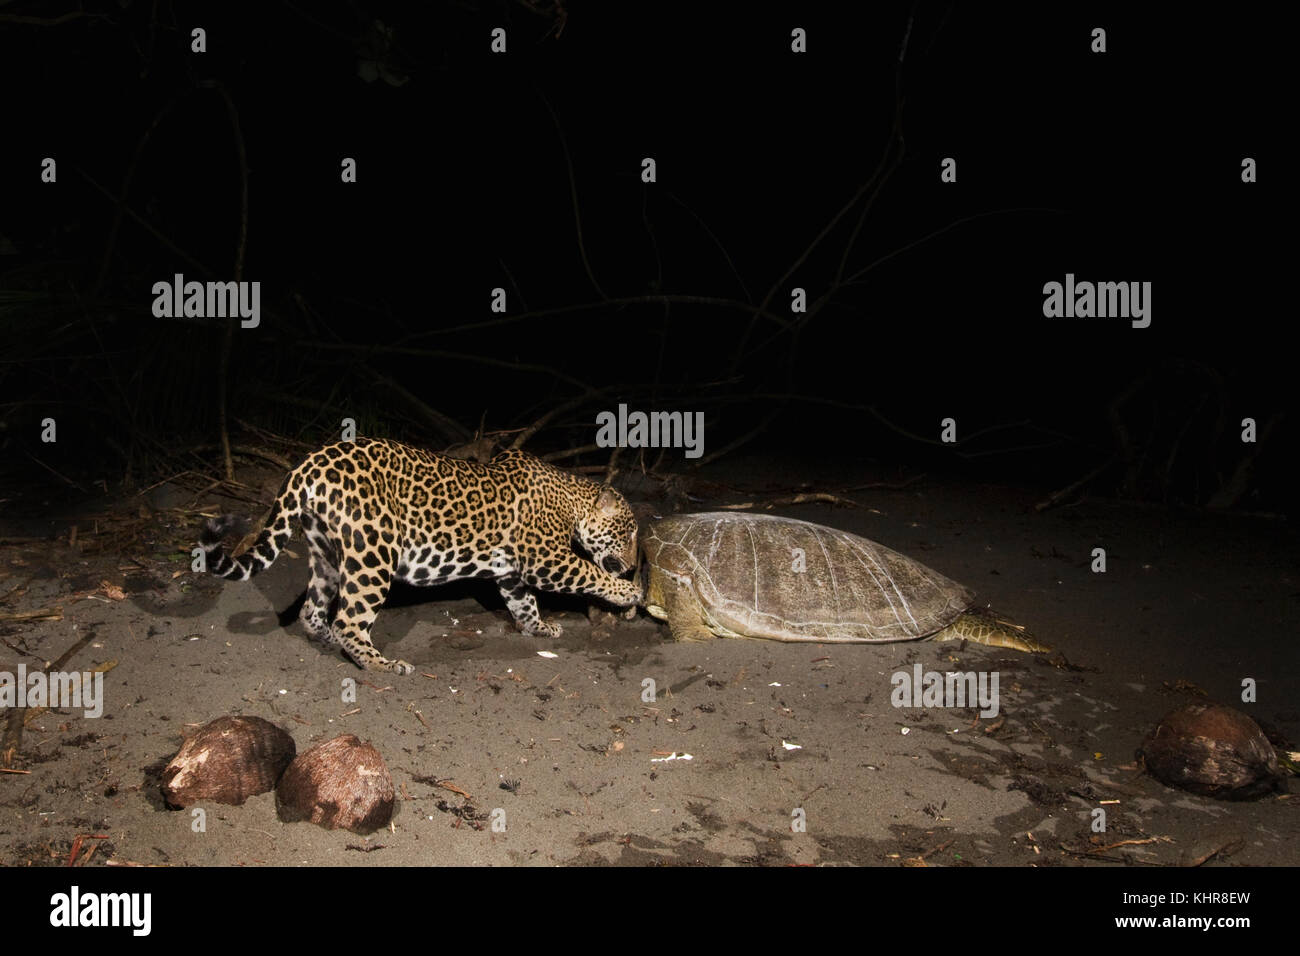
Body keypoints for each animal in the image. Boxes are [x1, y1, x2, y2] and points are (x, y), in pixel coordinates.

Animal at [198, 437, 642, 675]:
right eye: (629, 532)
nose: (635, 564)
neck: (571, 501)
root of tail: (309, 463)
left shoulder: (512, 571)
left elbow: (523, 603)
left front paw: (540, 628)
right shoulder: (546, 558)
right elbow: (588, 572)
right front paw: (627, 592)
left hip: (326, 552)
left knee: (313, 610)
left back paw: (325, 640)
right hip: (373, 553)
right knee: (349, 620)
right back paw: (382, 664)